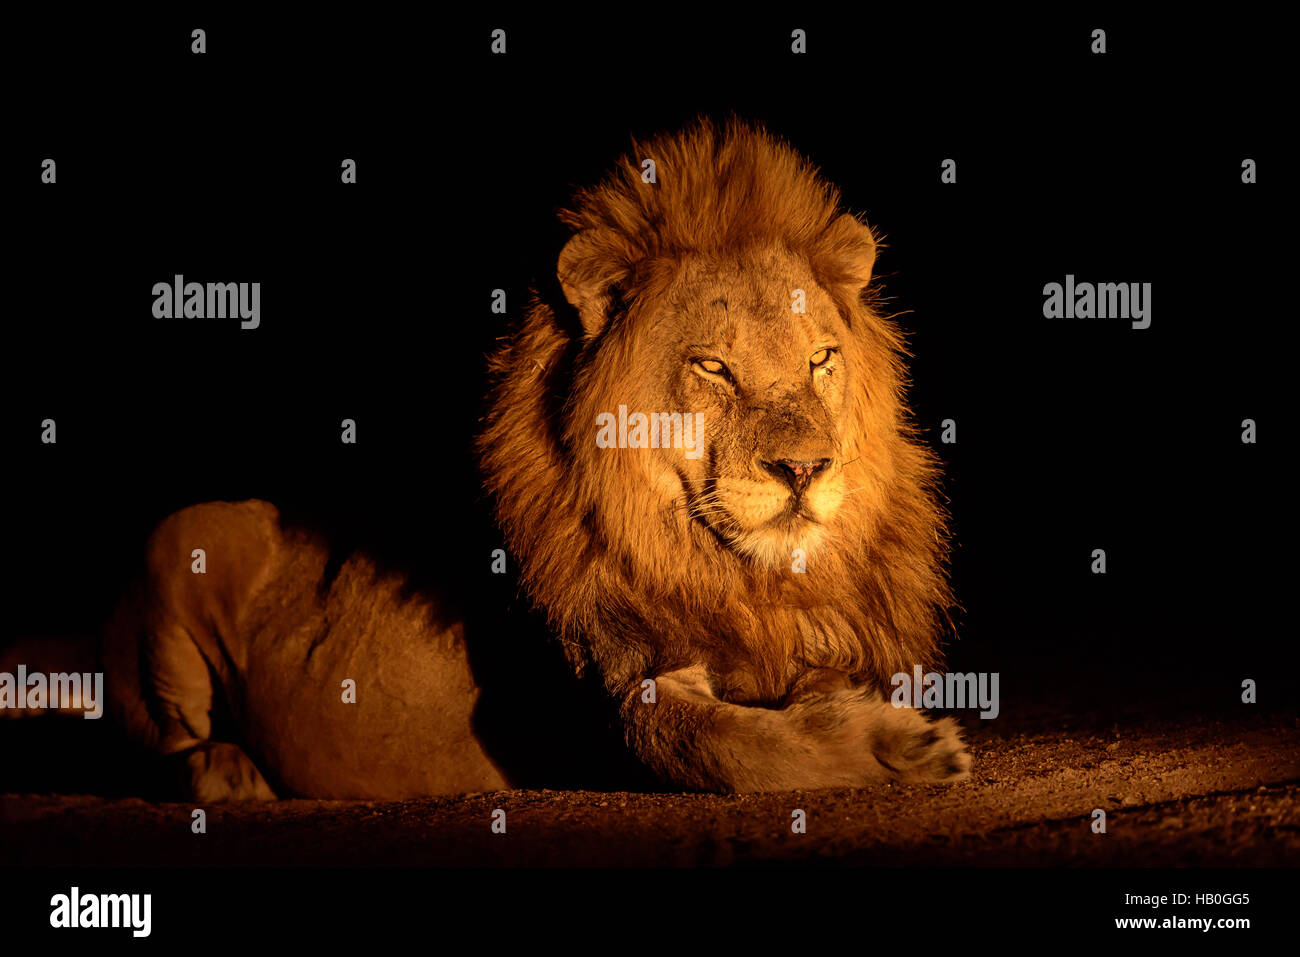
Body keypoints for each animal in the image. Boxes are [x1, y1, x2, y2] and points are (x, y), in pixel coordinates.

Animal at [101, 118, 968, 800]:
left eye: (821, 358)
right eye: (714, 367)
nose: (805, 470)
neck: (714, 565)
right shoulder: (594, 702)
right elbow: (729, 748)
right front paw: (906, 747)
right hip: (184, 539)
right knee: (163, 740)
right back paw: (228, 771)